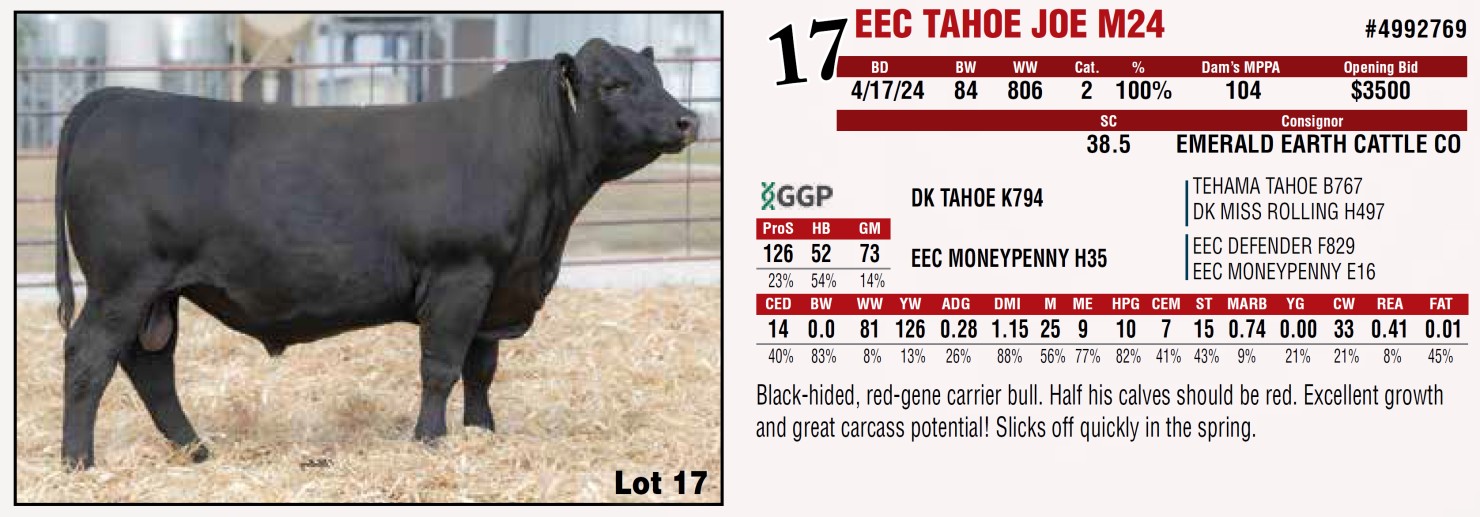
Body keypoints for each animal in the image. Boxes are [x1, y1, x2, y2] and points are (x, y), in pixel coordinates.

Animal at [53, 39, 698, 469]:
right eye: (614, 85)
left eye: (657, 75)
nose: (687, 120)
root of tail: (113, 96)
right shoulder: (460, 276)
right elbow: (441, 367)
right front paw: (430, 440)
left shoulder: (498, 284)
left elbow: (481, 369)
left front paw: (483, 434)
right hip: (122, 284)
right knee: (90, 357)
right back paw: (79, 461)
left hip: (157, 294)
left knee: (150, 367)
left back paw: (196, 449)